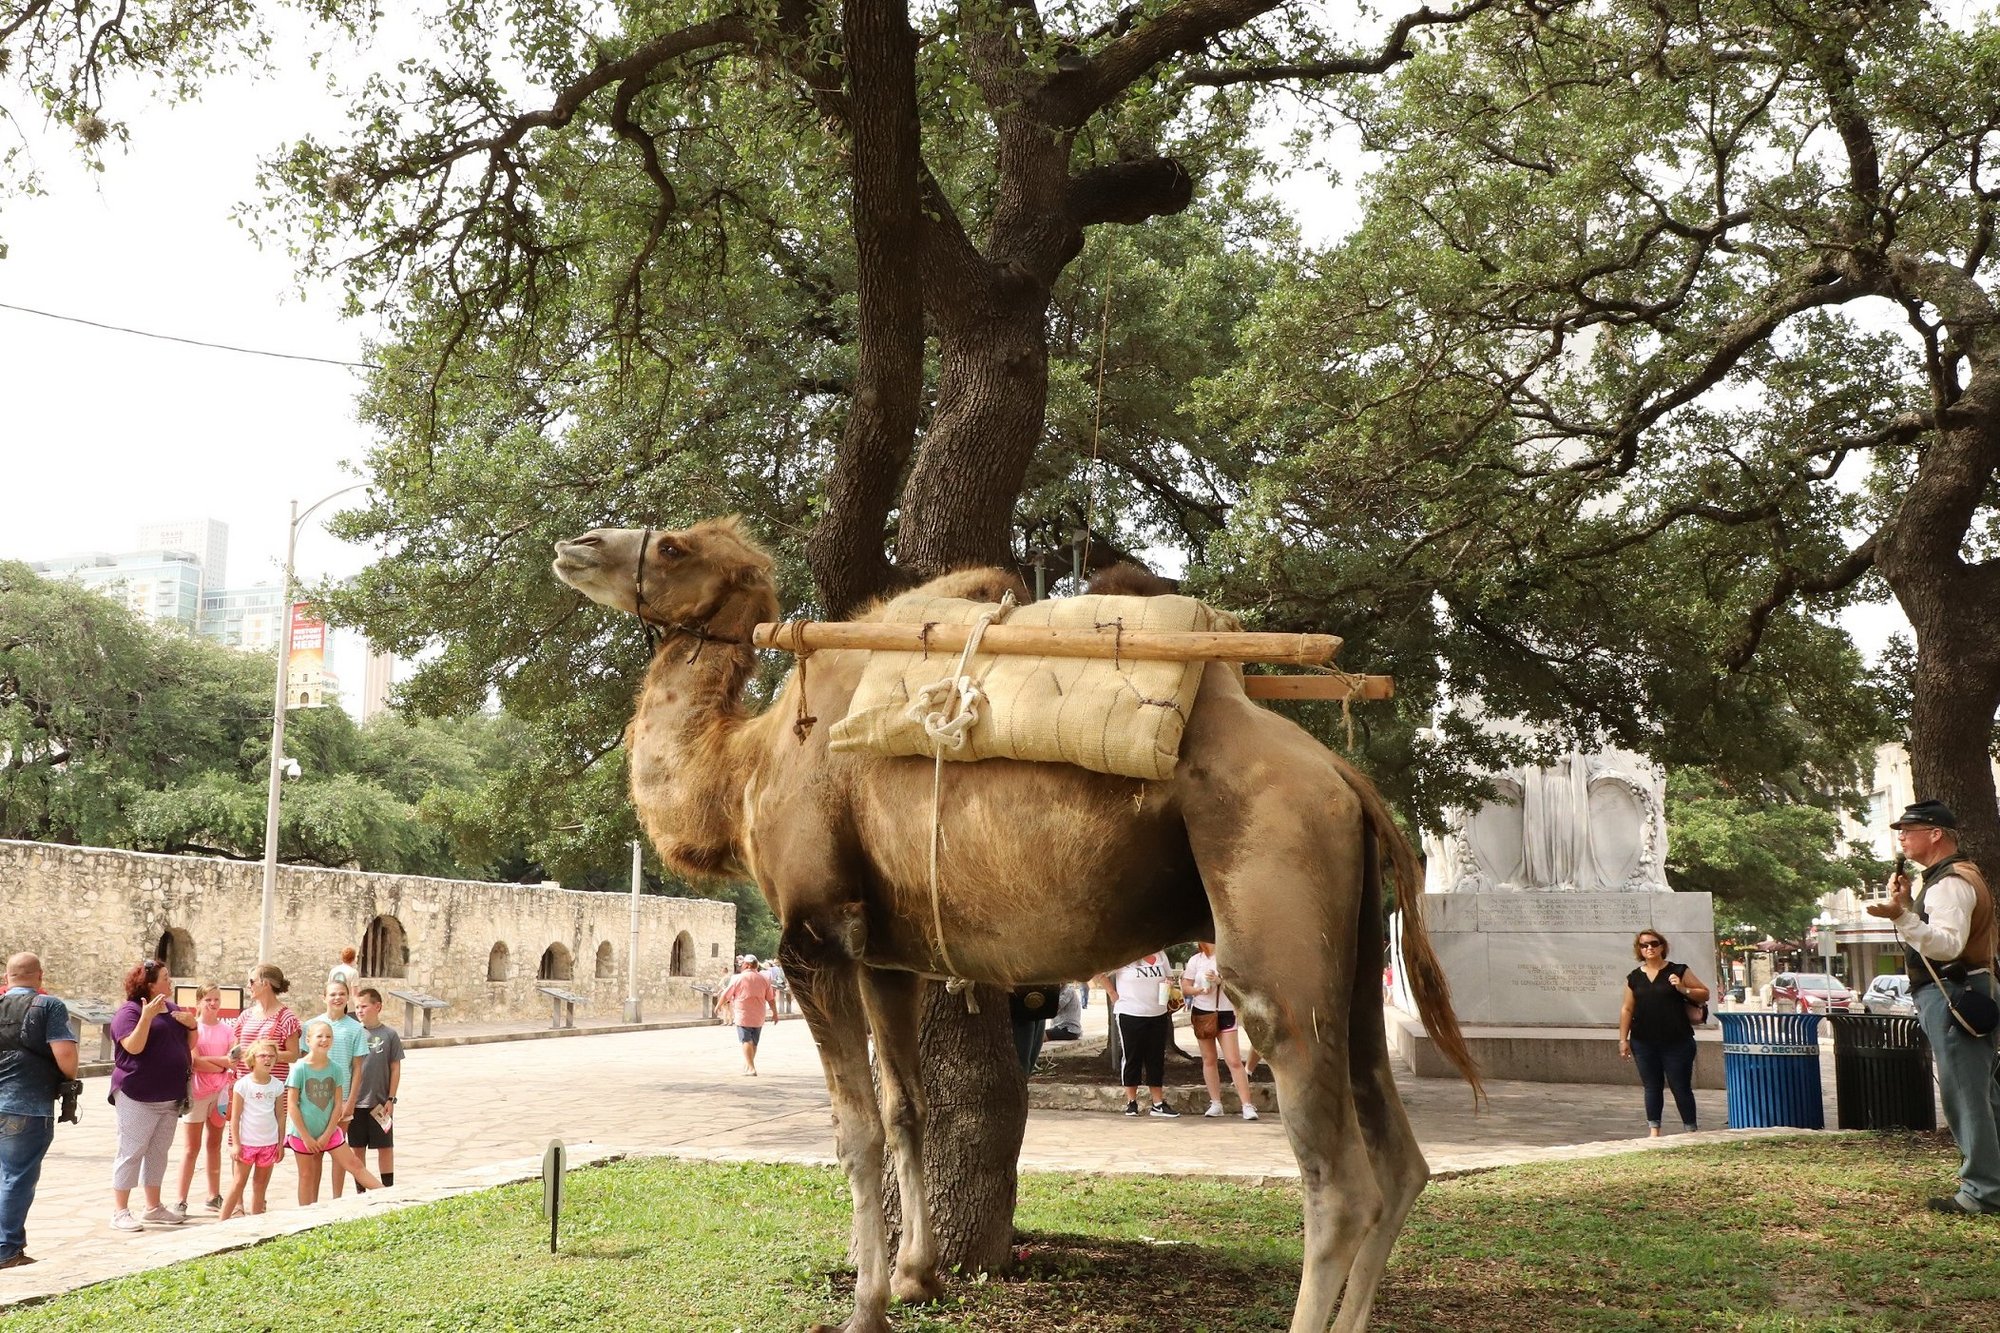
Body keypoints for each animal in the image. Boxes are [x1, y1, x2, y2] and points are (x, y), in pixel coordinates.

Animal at [552, 517, 1479, 1333]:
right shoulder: (887, 953)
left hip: (1275, 900)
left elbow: (854, 1131)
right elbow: (908, 1109)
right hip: (1352, 951)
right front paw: (920, 1278)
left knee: (1338, 1175)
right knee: (1401, 1160)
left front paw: (865, 1305)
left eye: (674, 545)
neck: (747, 769)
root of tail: (1344, 779)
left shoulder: (814, 934)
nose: (577, 544)